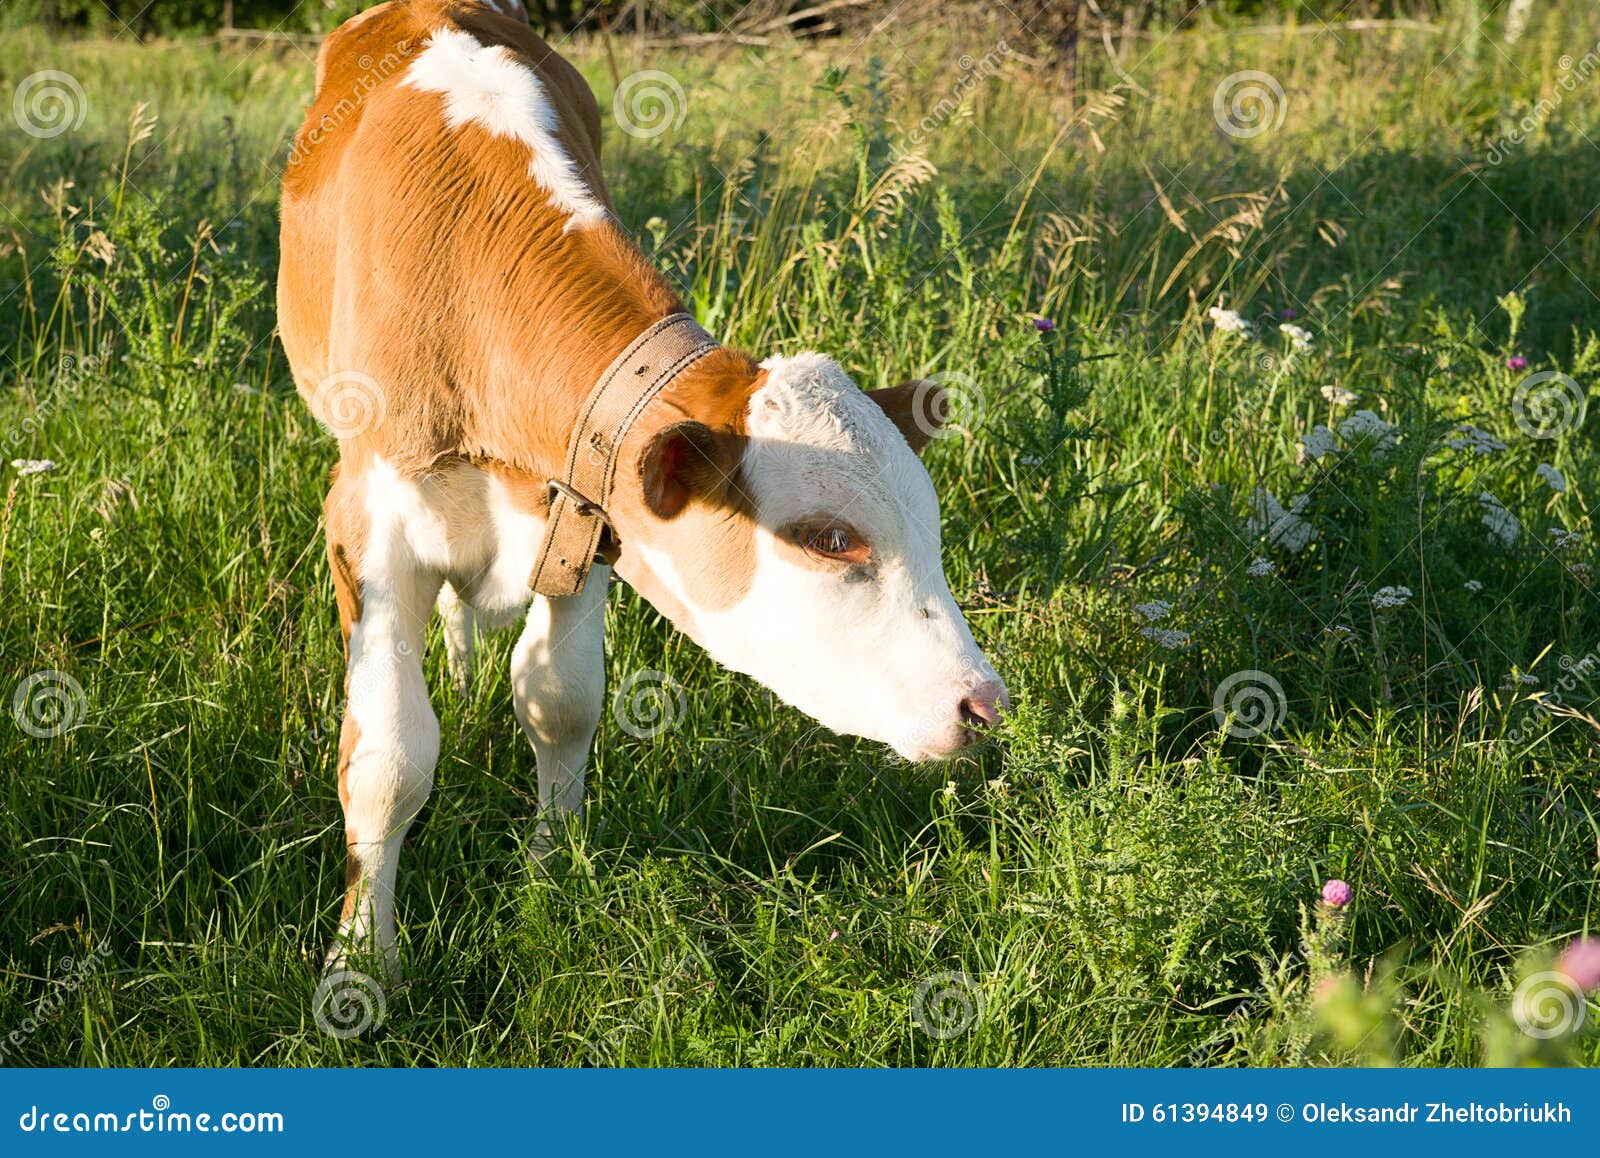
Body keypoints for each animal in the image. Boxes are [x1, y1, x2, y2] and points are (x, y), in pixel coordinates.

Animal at [277, 0, 1009, 976]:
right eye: (830, 536)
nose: (986, 704)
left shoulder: (585, 511)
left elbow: (560, 702)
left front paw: (549, 879)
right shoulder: (367, 519)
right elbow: (388, 759)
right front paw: (362, 963)